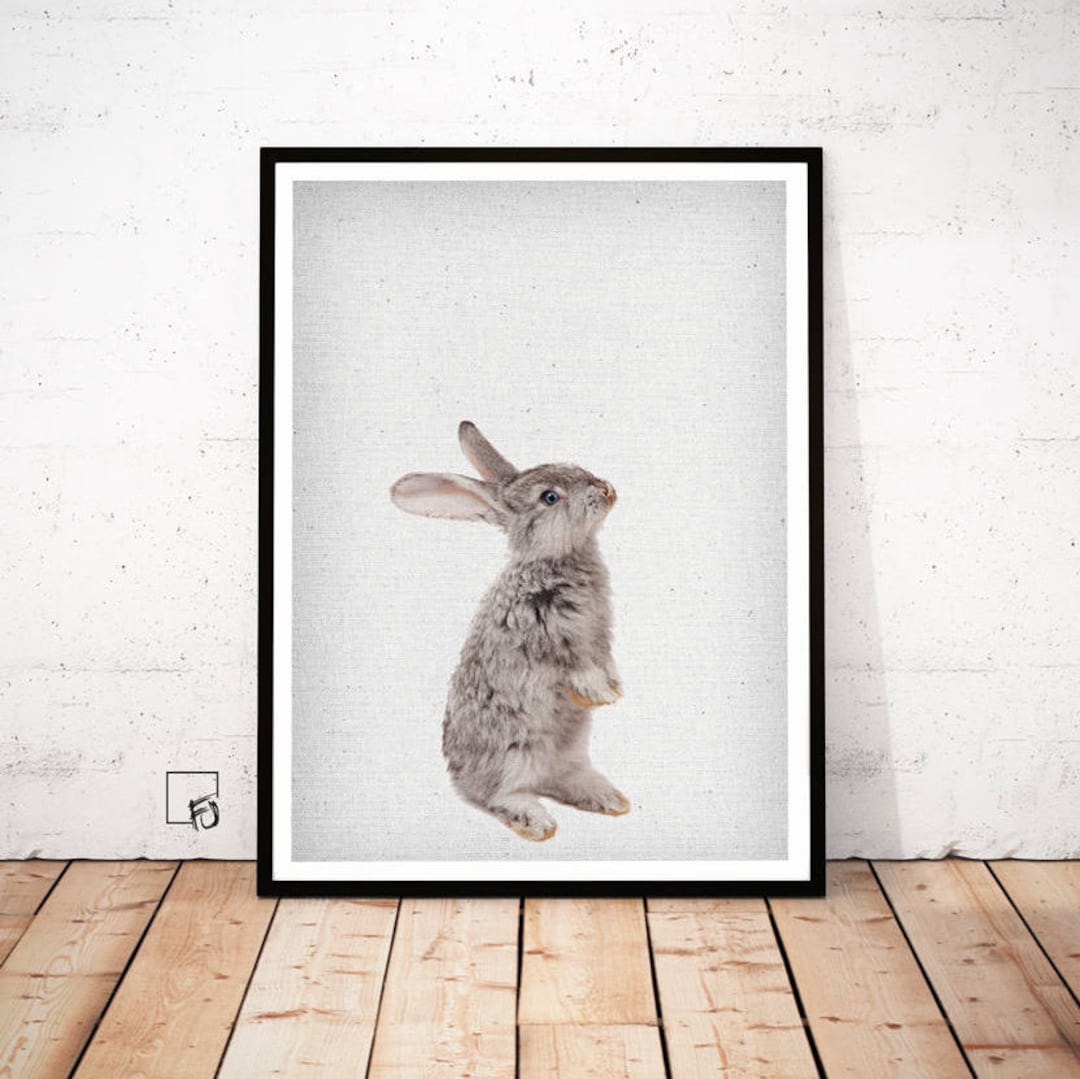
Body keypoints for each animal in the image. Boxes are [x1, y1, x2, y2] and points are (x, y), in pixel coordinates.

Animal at [390, 420, 629, 841]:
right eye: (550, 497)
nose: (606, 490)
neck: (557, 558)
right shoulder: (553, 635)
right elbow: (578, 665)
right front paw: (599, 694)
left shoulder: (600, 634)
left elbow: (604, 659)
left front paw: (615, 690)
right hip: (512, 752)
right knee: (498, 794)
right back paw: (536, 821)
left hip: (569, 748)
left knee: (560, 778)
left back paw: (607, 798)